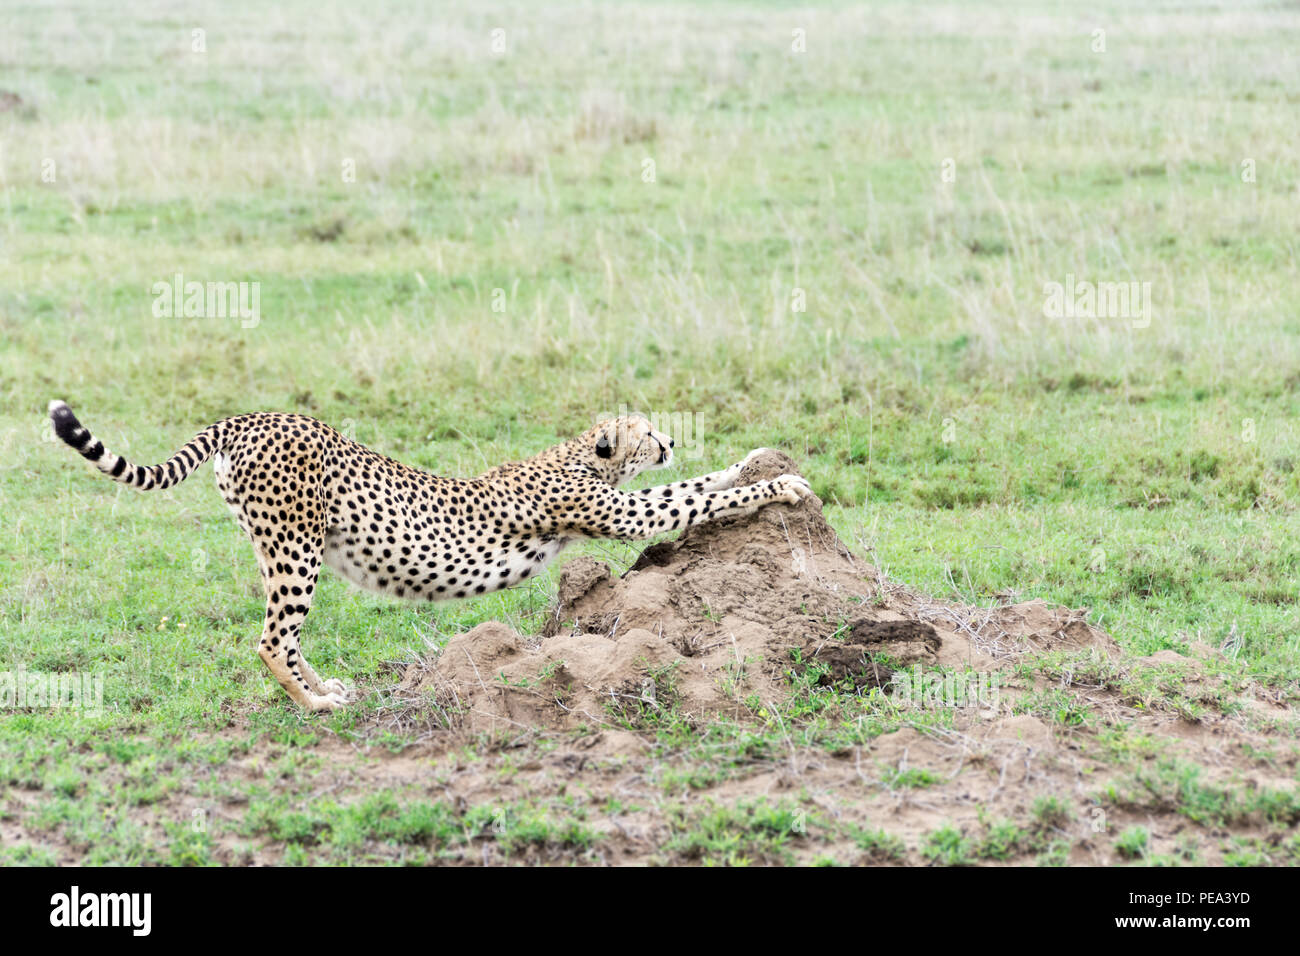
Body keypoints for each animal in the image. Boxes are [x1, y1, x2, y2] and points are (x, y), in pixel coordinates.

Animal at [48, 399, 813, 711]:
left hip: (282, 548)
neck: (579, 458)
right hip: (296, 549)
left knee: (284, 637)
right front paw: (780, 485)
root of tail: (253, 415)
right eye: (647, 431)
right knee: (269, 639)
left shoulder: (622, 504)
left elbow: (696, 488)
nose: (670, 440)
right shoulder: (616, 515)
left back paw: (329, 689)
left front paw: (750, 461)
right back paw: (315, 706)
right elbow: (689, 499)